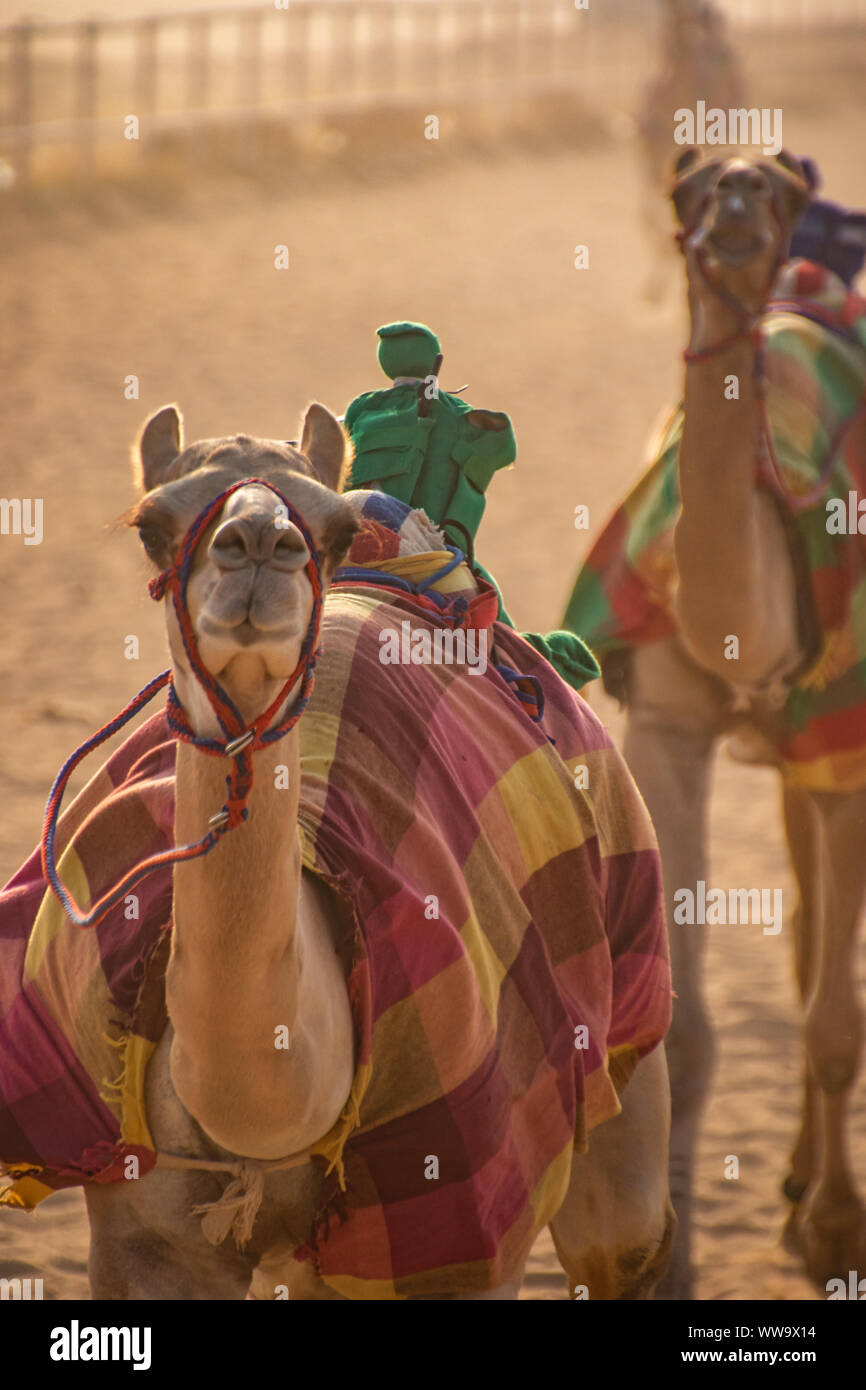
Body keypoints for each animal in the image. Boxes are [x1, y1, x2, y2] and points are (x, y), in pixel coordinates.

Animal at [75, 402, 675, 1299]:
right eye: (152, 525)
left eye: (331, 528)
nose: (260, 544)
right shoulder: (149, 1240)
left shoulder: (462, 1234)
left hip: (629, 1022)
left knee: (627, 1236)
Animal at [572, 149, 866, 1299]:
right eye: (687, 187)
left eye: (779, 191)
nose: (735, 207)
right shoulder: (664, 728)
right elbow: (686, 1038)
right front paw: (673, 1261)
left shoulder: (842, 746)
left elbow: (833, 1022)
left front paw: (835, 1232)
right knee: (801, 930)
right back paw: (786, 1182)